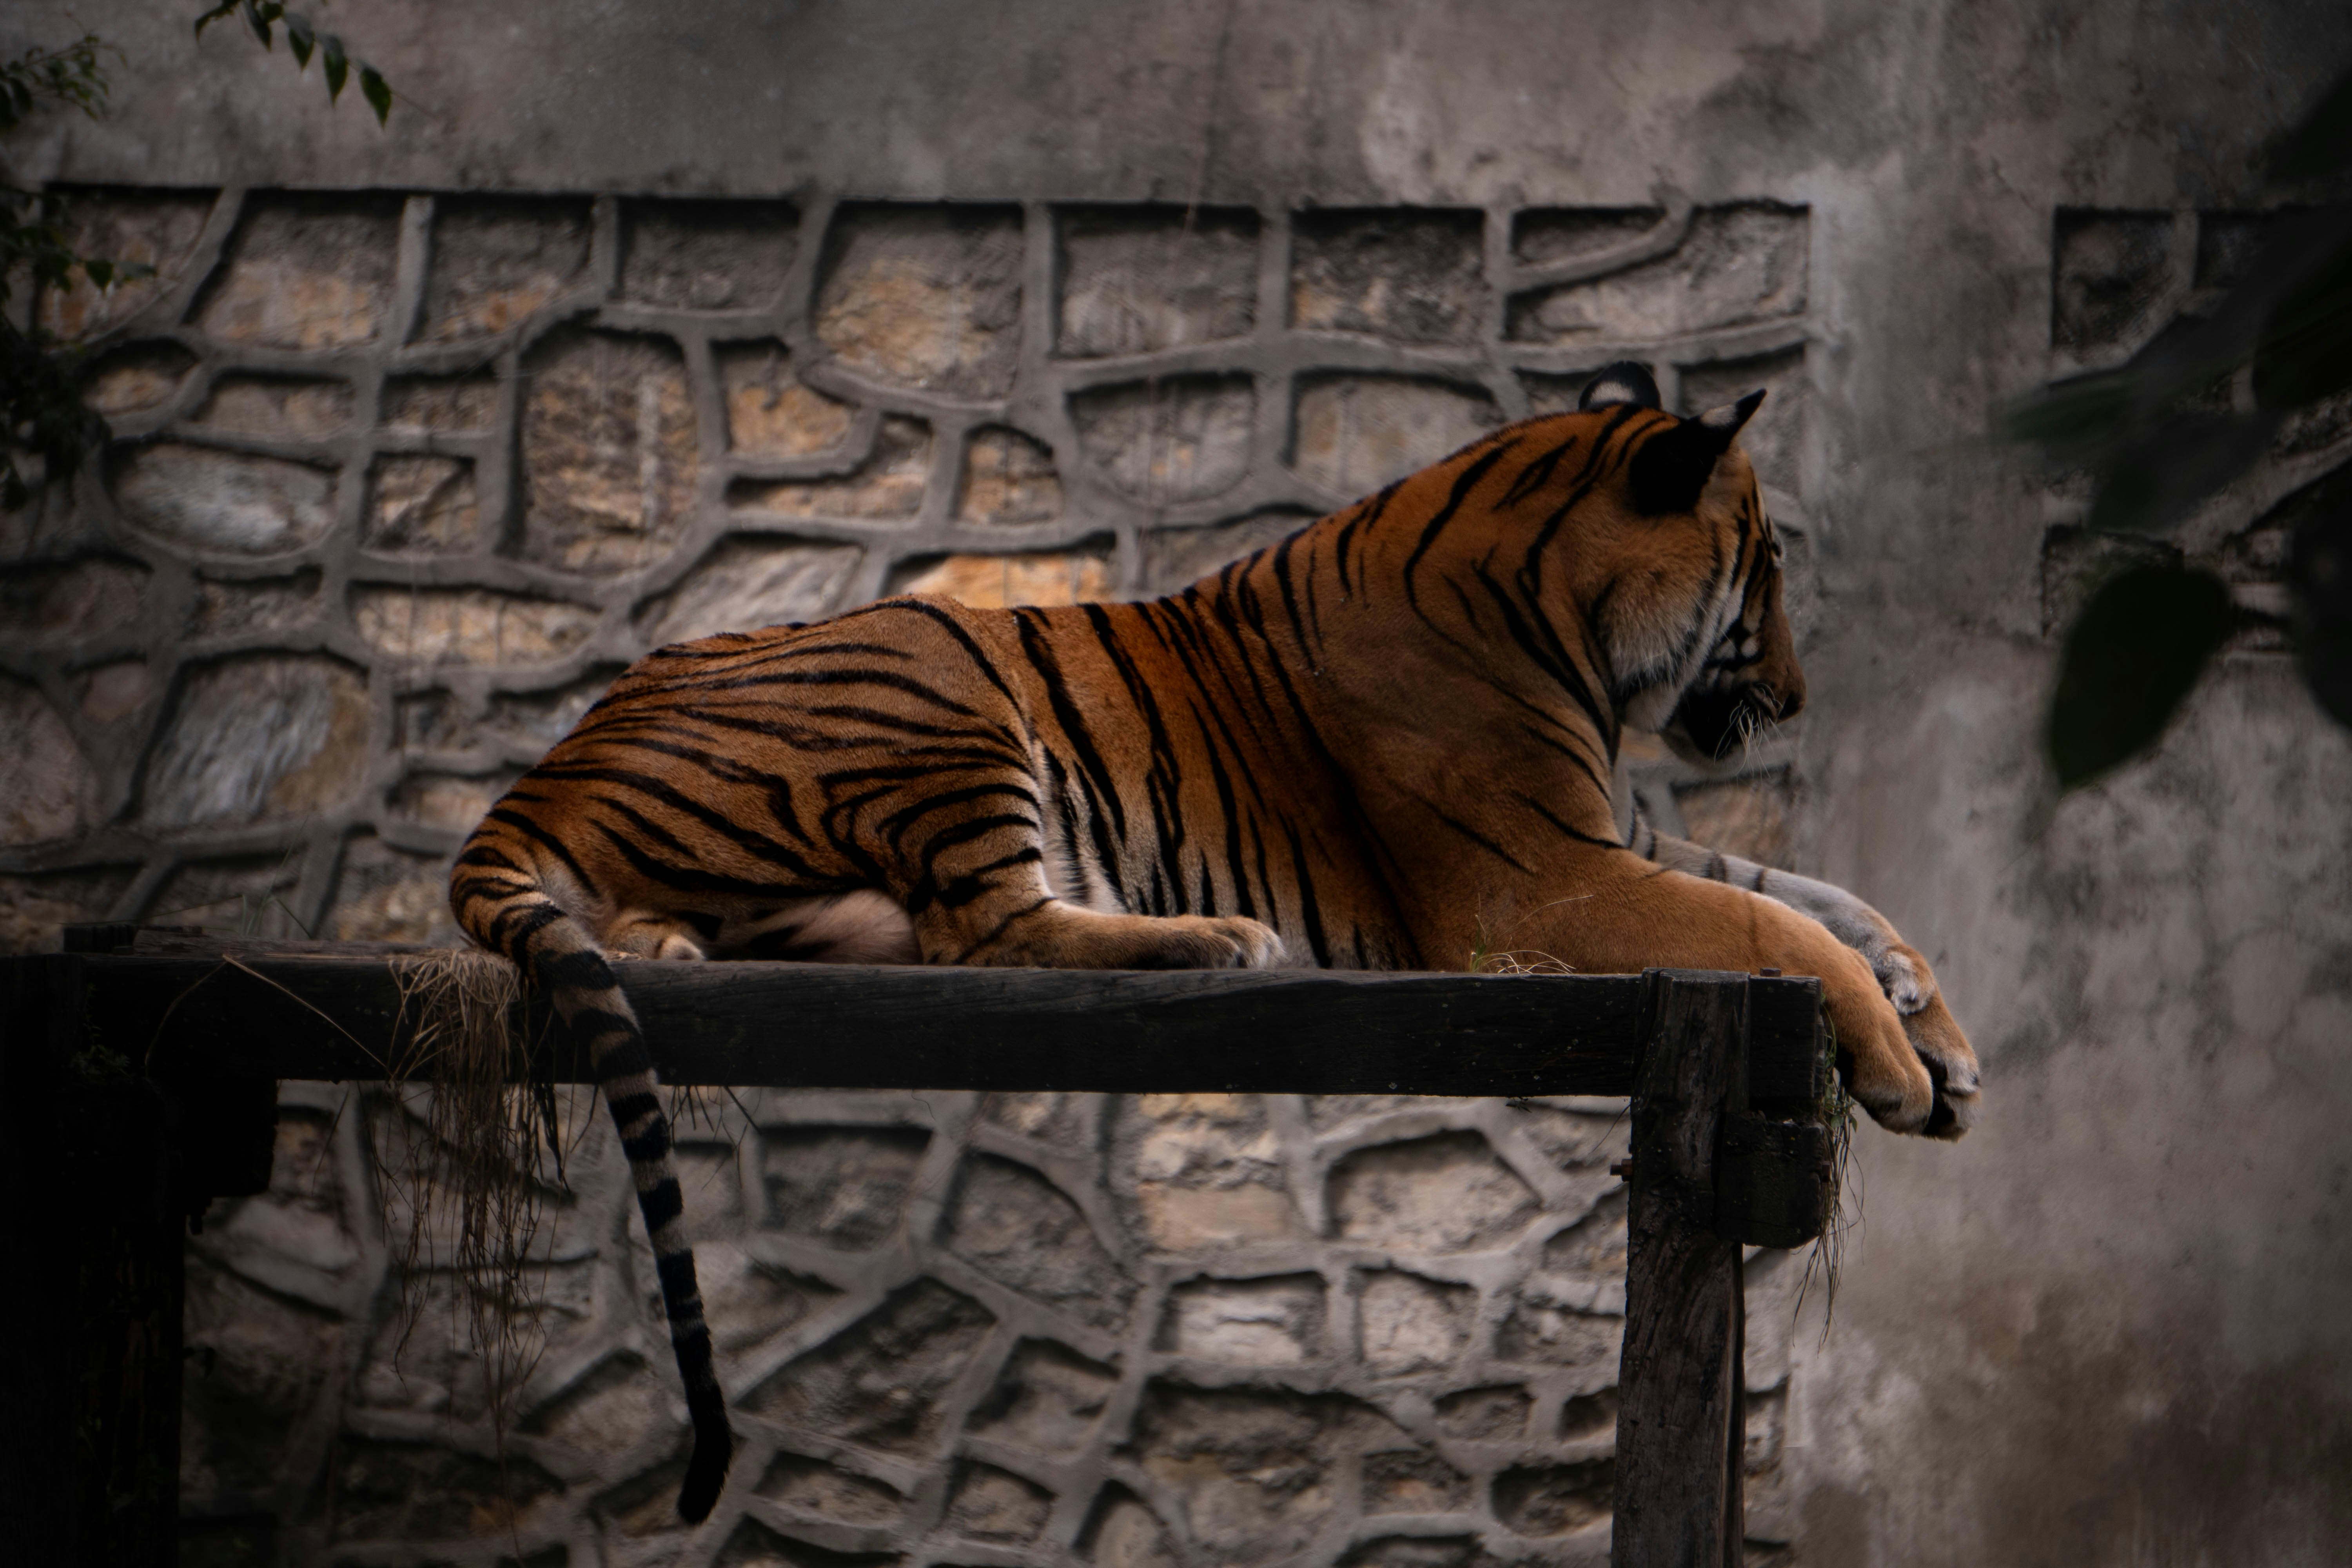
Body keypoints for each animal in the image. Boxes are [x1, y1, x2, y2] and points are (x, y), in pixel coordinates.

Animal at [448, 360, 1979, 1521]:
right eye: (1761, 571)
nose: (1793, 698)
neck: (1570, 627)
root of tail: (556, 758)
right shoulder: (1533, 881)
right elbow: (1768, 913)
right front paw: (1899, 1069)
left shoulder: (1609, 843)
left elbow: (1820, 894)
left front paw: (1939, 1036)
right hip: (939, 665)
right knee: (989, 933)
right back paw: (1214, 938)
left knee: (865, 930)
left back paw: (692, 948)